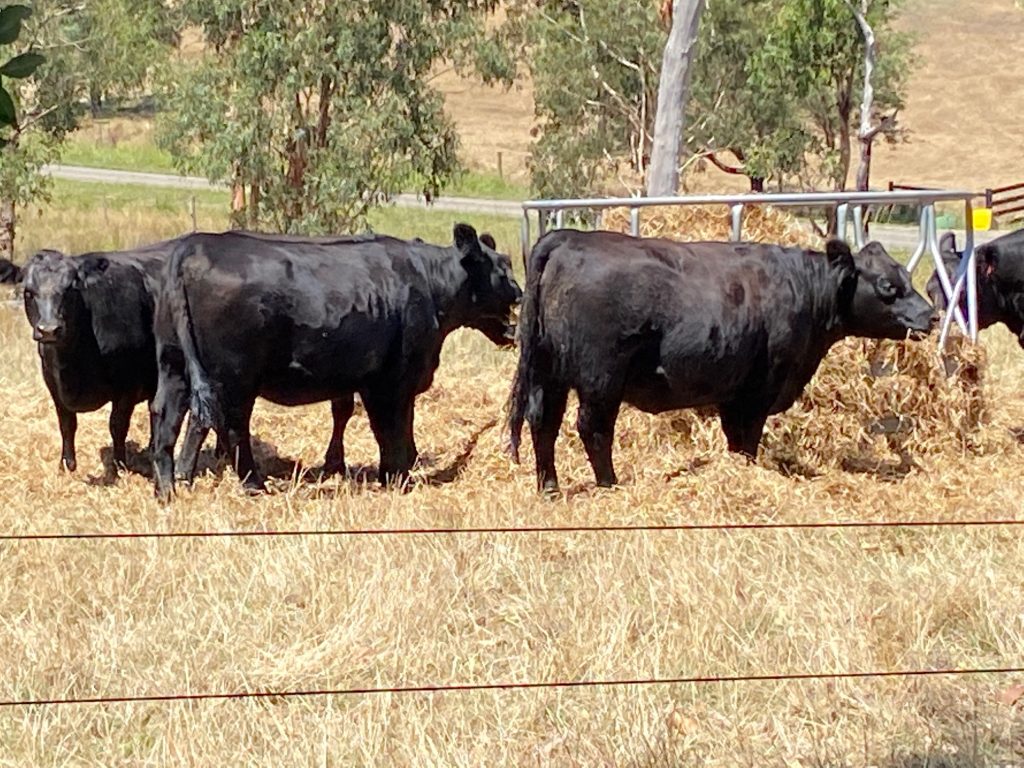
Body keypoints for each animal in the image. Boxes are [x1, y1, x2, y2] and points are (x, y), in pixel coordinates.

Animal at [149, 224, 522, 500]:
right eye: (500, 268)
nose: (519, 291)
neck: (428, 283)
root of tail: (194, 246)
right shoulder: (389, 380)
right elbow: (389, 427)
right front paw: (395, 477)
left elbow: (399, 423)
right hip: (234, 375)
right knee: (231, 424)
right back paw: (253, 484)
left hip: (174, 365)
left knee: (166, 417)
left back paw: (167, 489)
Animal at [506, 230, 936, 493]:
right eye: (888, 287)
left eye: (907, 277)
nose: (930, 316)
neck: (803, 289)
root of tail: (571, 237)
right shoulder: (758, 393)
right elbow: (747, 440)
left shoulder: (733, 393)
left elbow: (734, 440)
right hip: (601, 377)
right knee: (591, 428)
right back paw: (610, 484)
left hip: (548, 371)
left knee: (543, 423)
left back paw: (550, 488)